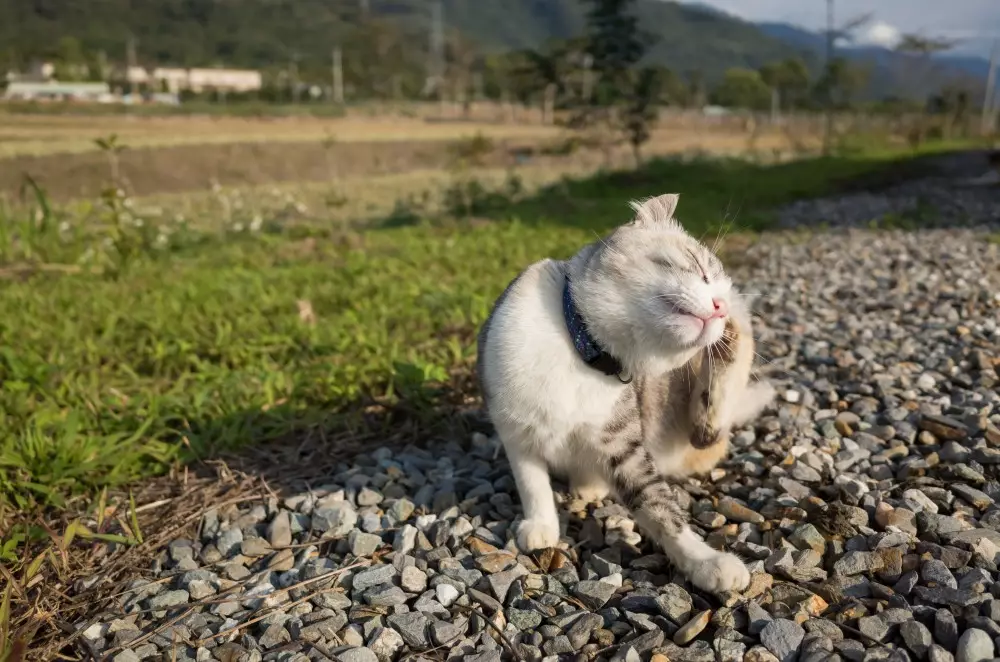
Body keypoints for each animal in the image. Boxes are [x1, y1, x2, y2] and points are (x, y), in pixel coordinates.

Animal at [476, 193, 772, 596]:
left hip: (696, 429)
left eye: (719, 290)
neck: (583, 352)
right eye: (700, 269)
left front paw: (705, 562)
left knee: (710, 421)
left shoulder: (624, 444)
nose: (720, 307)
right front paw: (541, 526)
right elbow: (532, 483)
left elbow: (660, 507)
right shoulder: (515, 431)